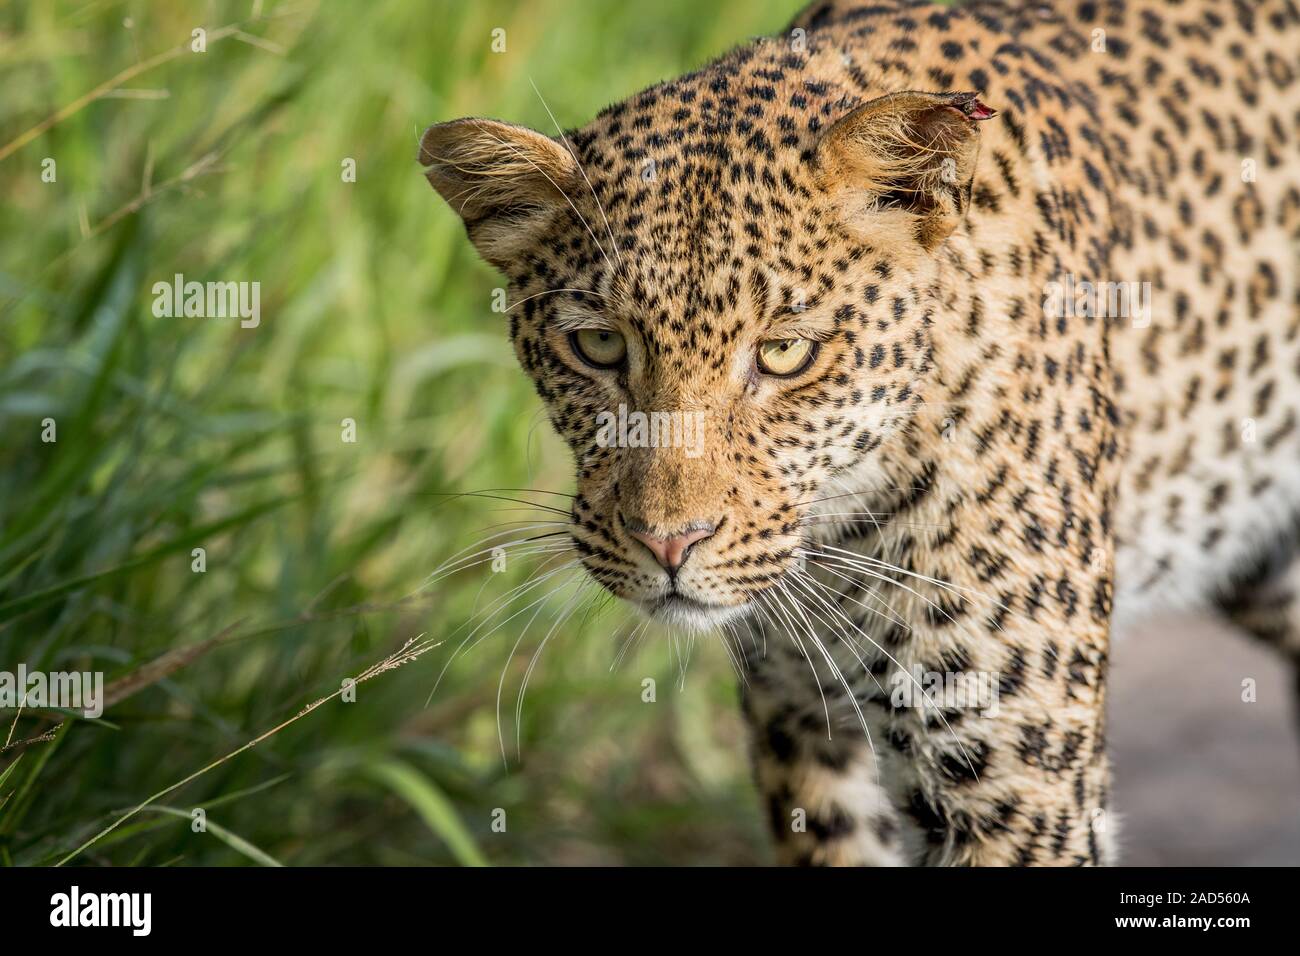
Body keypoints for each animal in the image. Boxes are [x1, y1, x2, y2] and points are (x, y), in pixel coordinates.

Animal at [418, 0, 1300, 865]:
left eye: (784, 353)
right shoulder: (799, 721)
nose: (669, 544)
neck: (845, 523)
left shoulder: (1013, 786)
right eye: (599, 345)